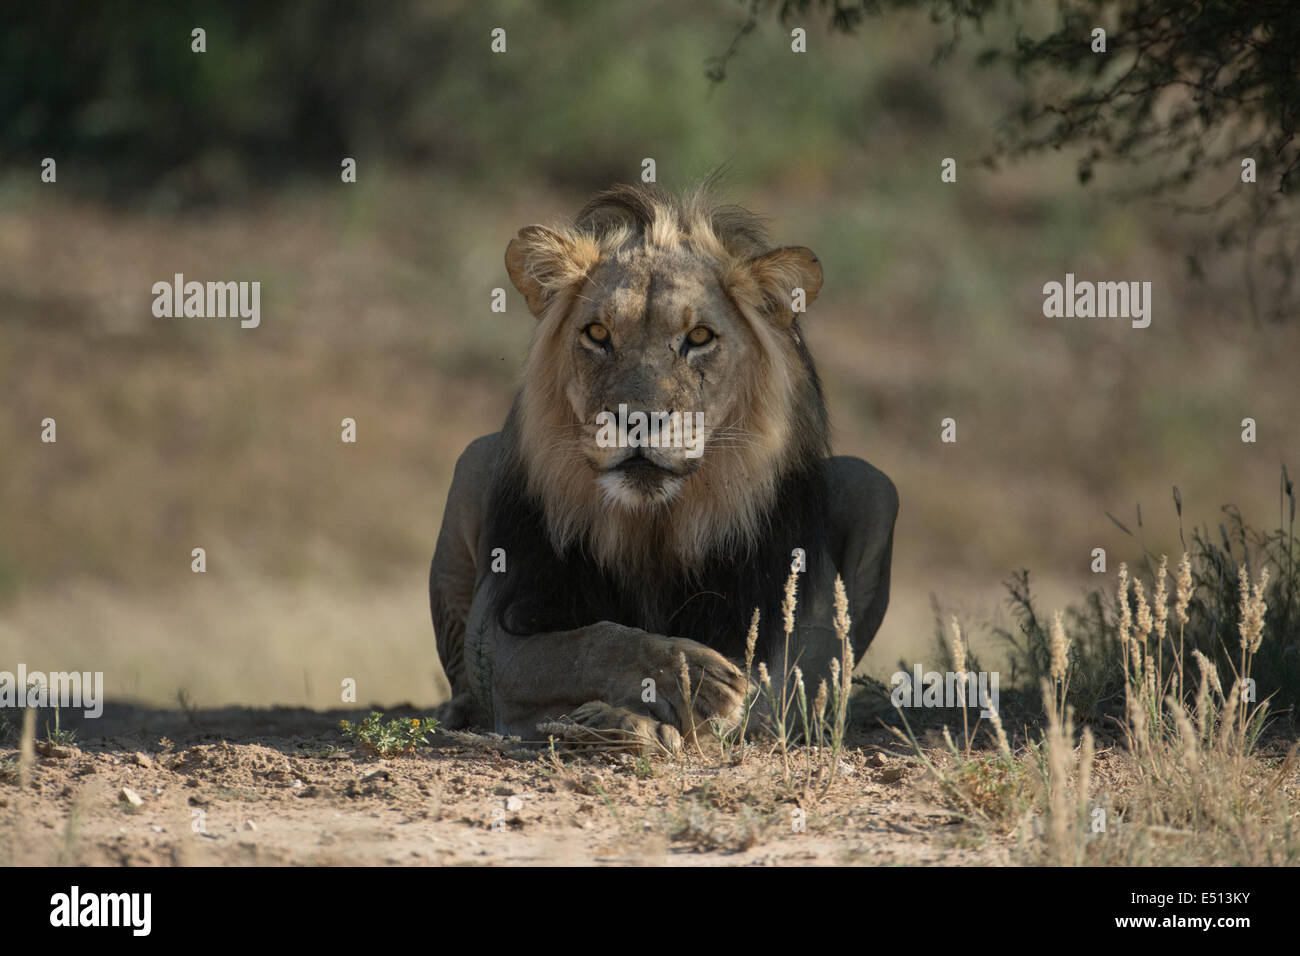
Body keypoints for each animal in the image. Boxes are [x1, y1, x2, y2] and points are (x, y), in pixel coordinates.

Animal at [431, 180, 899, 754]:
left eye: (698, 337)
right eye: (597, 333)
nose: (636, 420)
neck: (656, 525)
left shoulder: (810, 645)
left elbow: (770, 693)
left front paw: (651, 712)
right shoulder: (496, 631)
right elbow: (592, 642)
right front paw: (686, 680)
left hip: (874, 485)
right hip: (472, 458)